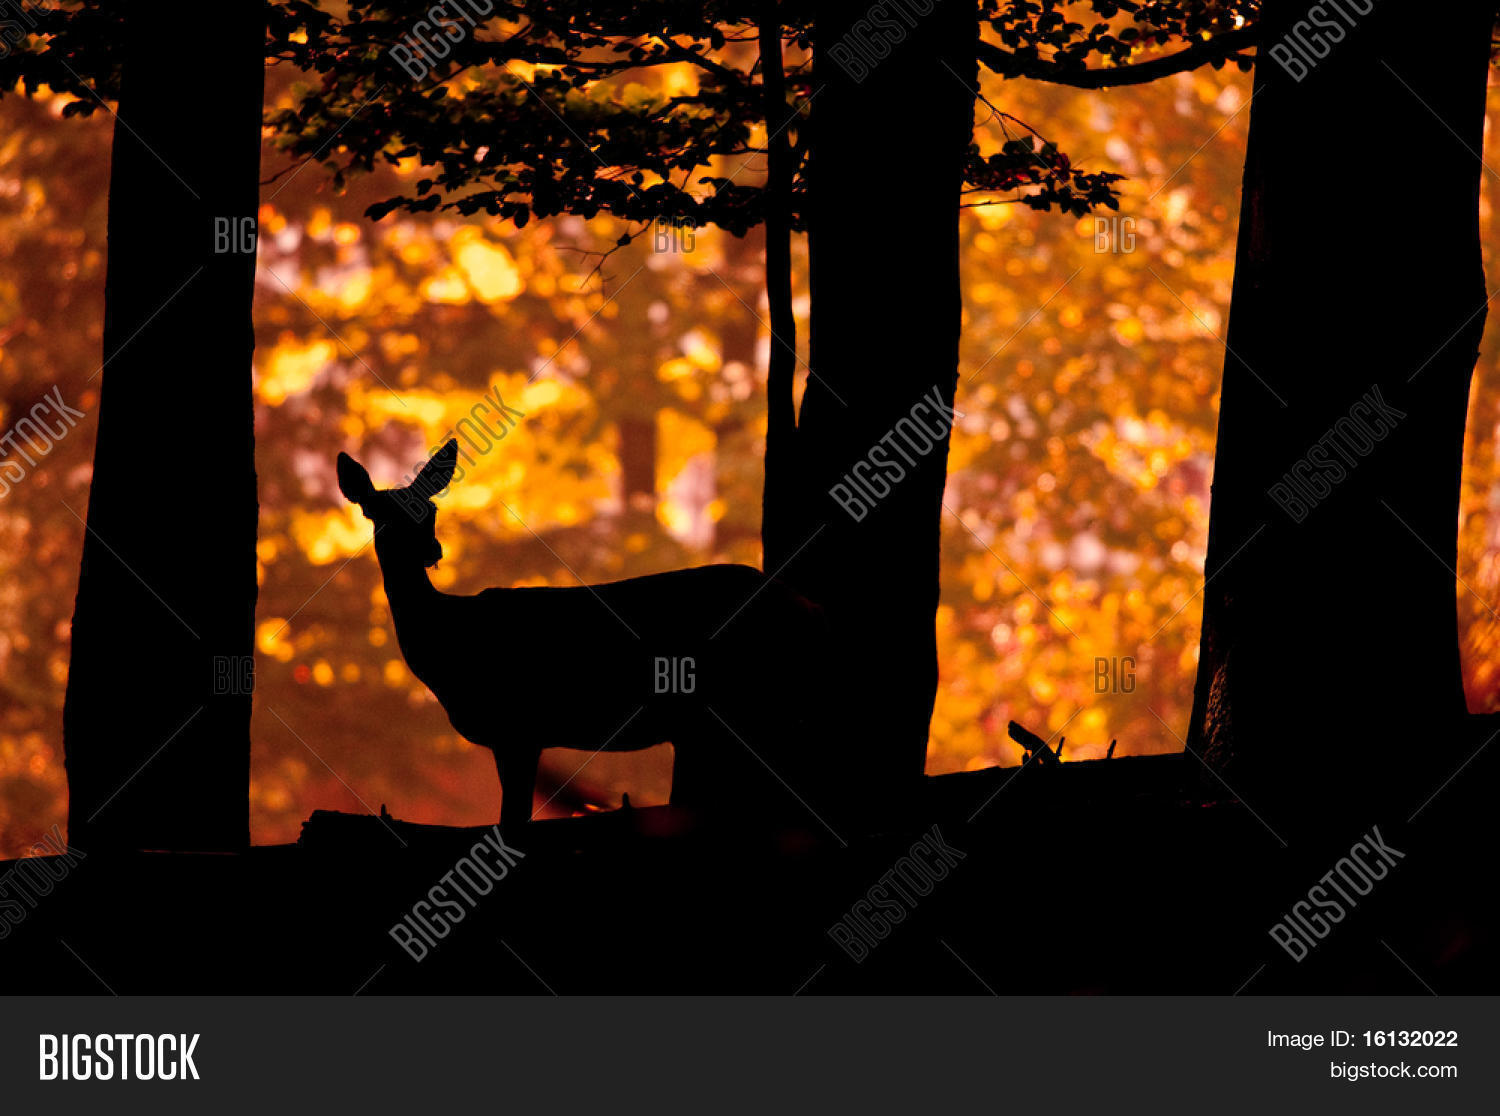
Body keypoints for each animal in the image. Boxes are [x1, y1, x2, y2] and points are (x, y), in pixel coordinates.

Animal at [336, 439, 834, 835]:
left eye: (432, 509)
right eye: (378, 513)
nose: (432, 550)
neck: (448, 639)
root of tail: (810, 609)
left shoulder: (519, 726)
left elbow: (512, 821)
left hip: (748, 706)